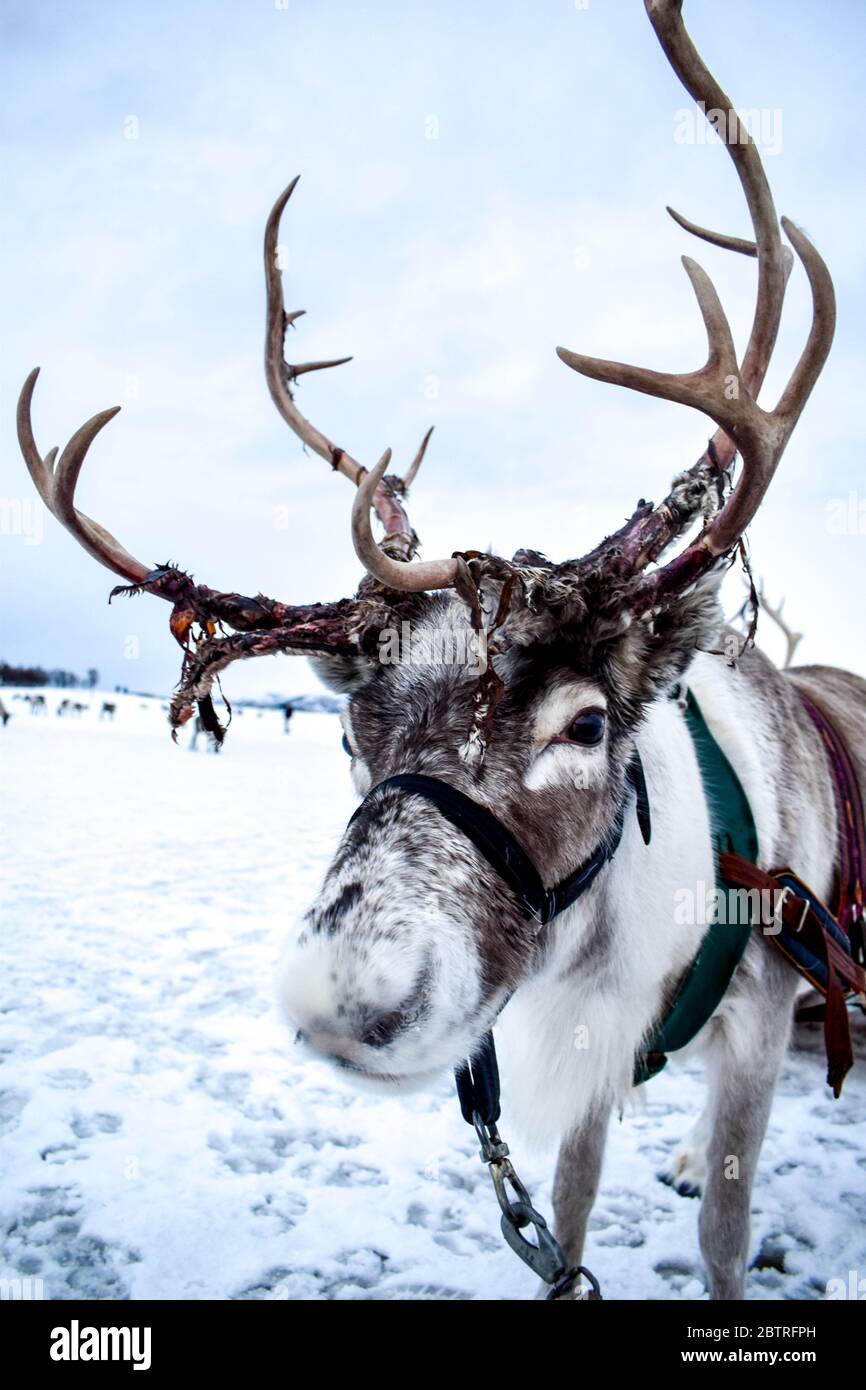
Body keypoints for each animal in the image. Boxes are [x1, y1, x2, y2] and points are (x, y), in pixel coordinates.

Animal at [15, 0, 862, 1301]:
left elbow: (724, 1236)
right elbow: (566, 1209)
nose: (338, 998)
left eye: (585, 722)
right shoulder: (596, 1051)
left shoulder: (766, 1014)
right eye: (350, 735)